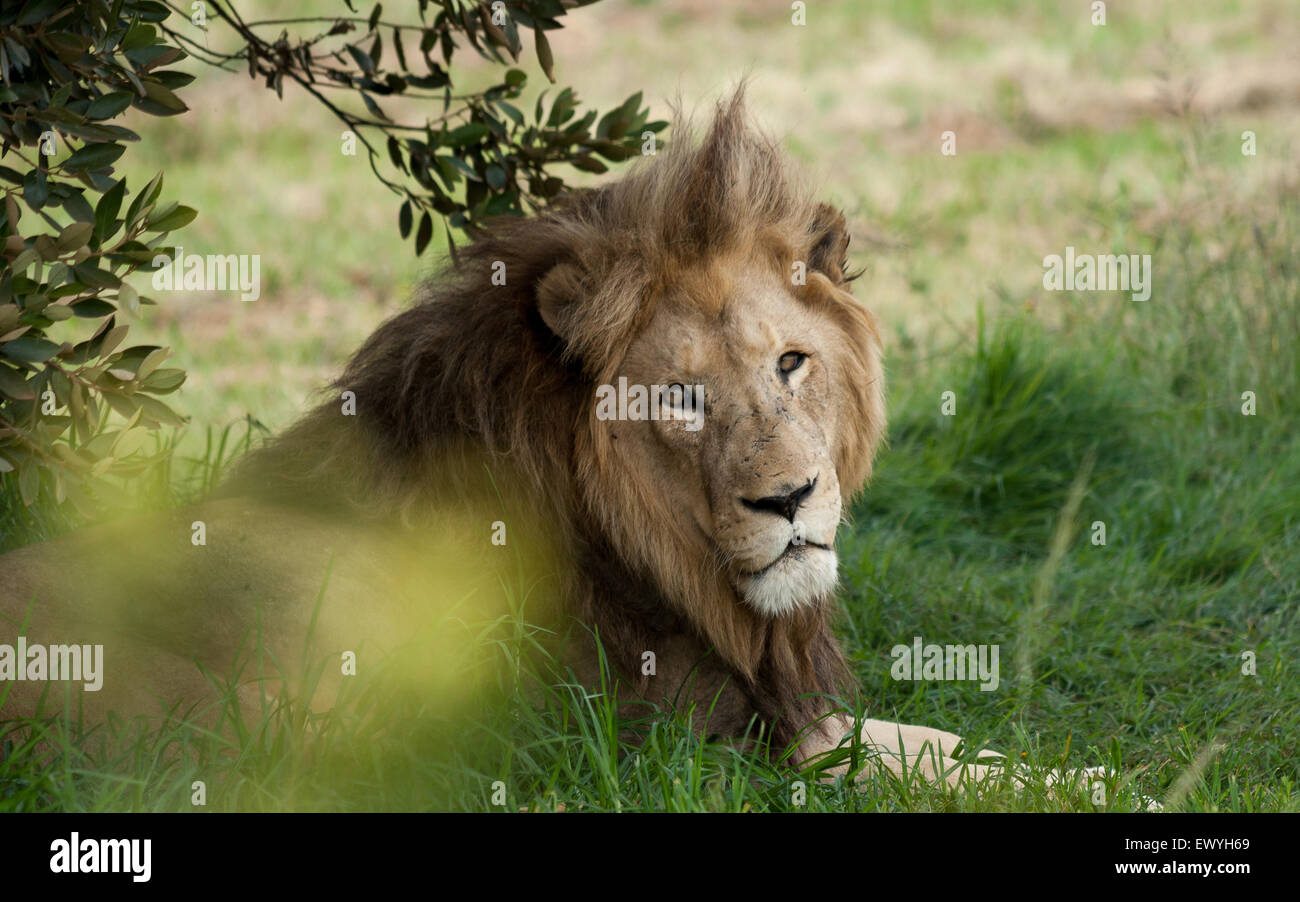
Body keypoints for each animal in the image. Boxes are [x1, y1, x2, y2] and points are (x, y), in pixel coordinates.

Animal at [0, 90, 1011, 790]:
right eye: (682, 398)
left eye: (791, 364)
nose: (790, 499)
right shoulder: (683, 738)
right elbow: (900, 761)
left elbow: (937, 742)